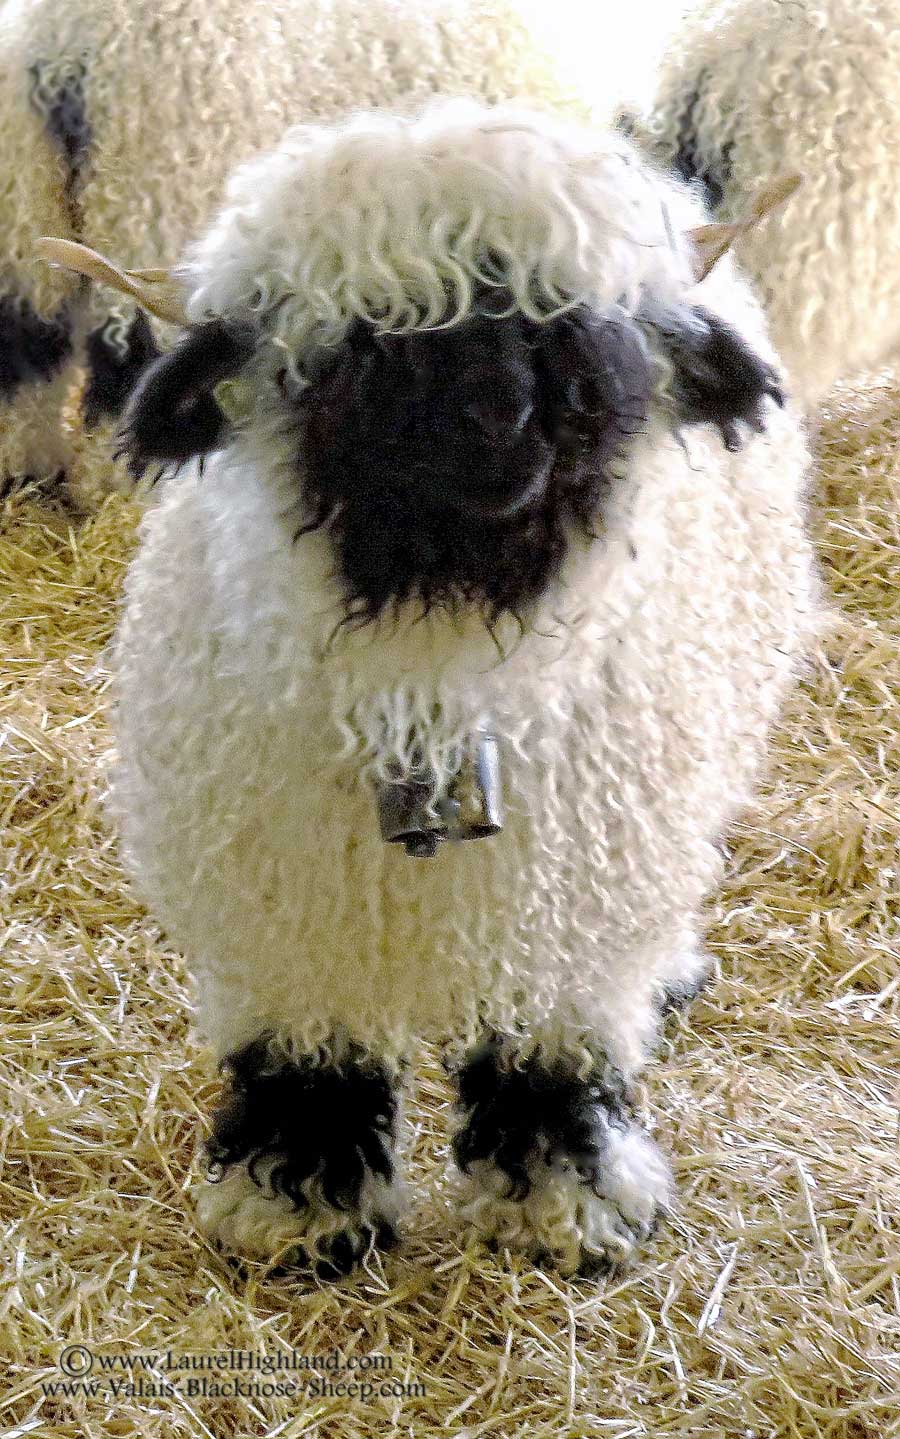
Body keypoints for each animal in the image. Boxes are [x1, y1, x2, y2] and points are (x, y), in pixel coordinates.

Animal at [0, 0, 588, 493]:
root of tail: (69, 54)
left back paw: (29, 474)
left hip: (26, 200)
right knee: (132, 359)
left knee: (28, 345)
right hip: (156, 196)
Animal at [107, 101, 816, 1278]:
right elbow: (309, 1050)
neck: (433, 678)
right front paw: (296, 1201)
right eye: (359, 342)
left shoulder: (577, 898)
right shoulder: (277, 902)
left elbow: (552, 1051)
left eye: (571, 325)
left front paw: (566, 1199)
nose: (496, 415)